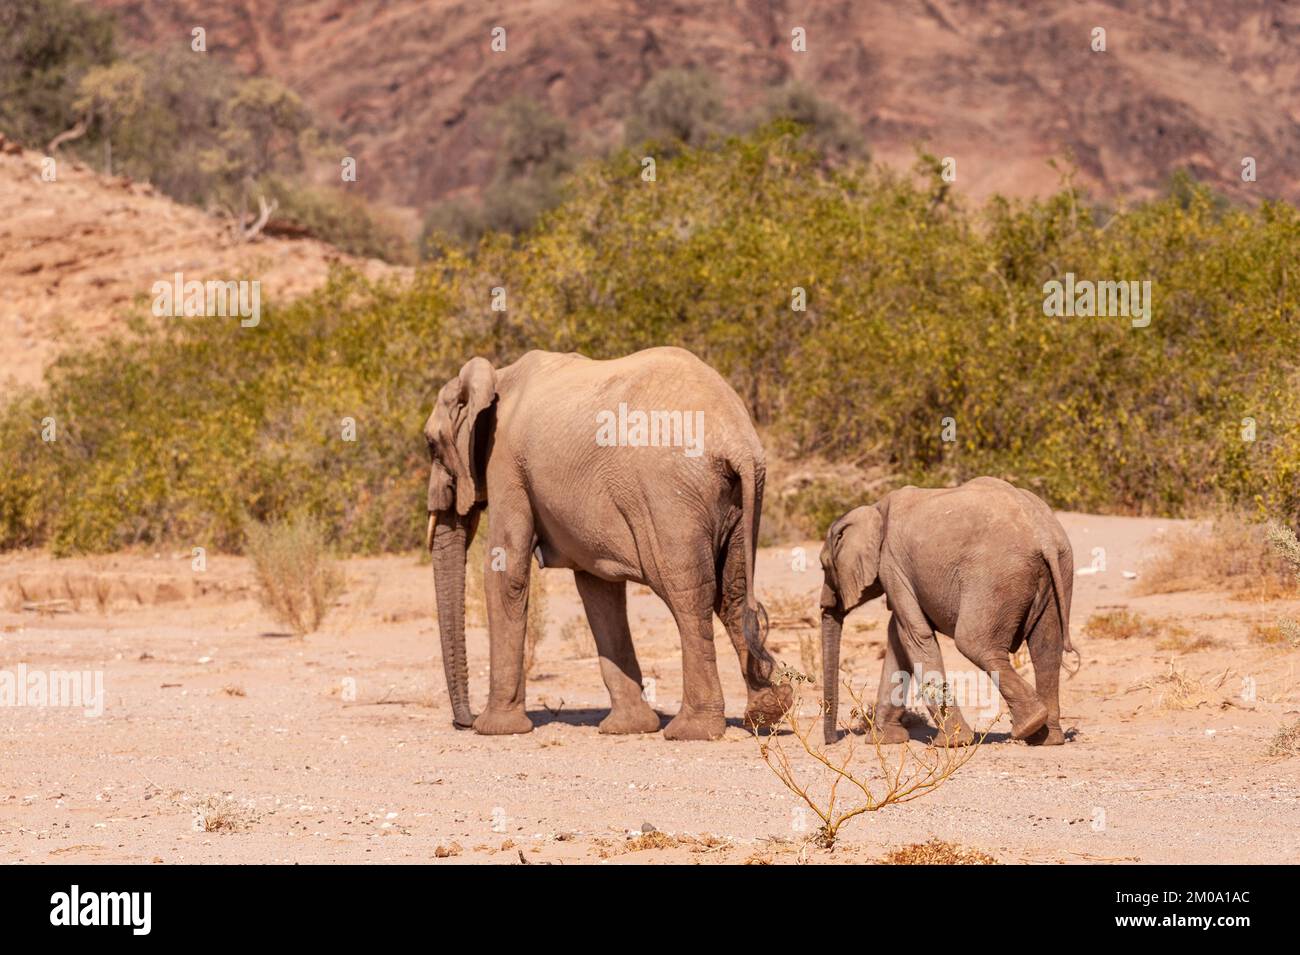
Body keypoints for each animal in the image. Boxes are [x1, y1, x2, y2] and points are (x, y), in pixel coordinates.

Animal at [423, 346, 789, 740]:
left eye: (431, 444)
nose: (463, 721)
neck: (498, 376)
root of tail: (737, 441)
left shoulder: (506, 463)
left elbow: (507, 572)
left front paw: (494, 729)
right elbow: (598, 587)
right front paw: (629, 728)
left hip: (667, 498)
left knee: (688, 594)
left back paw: (691, 730)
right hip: (742, 499)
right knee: (732, 593)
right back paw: (767, 712)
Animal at [818, 476, 1074, 747]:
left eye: (824, 566)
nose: (832, 741)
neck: (874, 508)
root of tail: (1044, 537)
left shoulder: (892, 564)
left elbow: (914, 635)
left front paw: (952, 743)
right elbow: (897, 639)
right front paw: (885, 739)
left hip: (995, 577)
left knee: (974, 644)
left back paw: (1028, 725)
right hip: (1059, 567)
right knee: (1047, 650)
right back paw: (1046, 738)